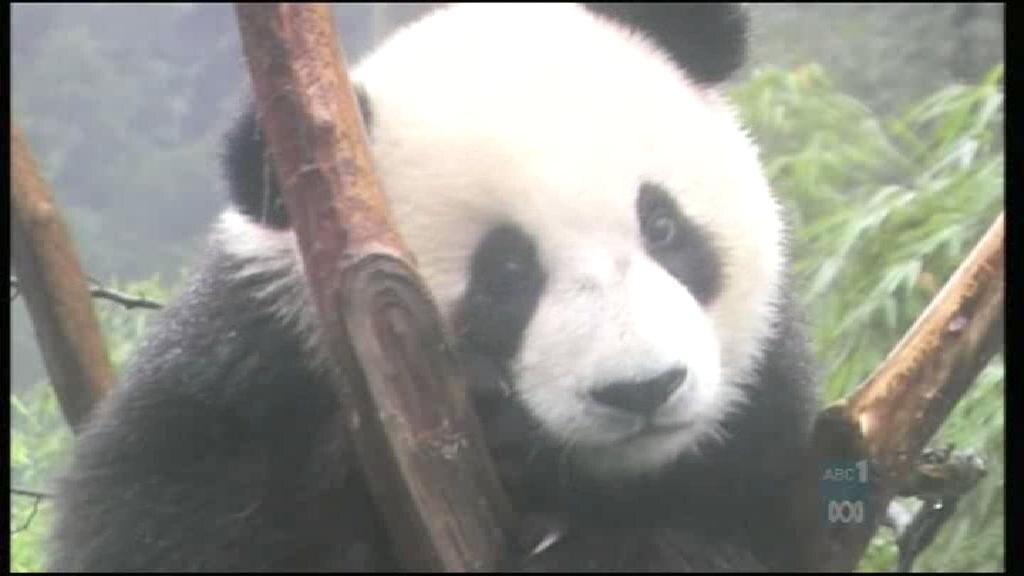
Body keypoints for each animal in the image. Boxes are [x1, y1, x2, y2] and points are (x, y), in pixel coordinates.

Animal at [49, 3, 819, 572]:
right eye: (505, 276)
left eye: (662, 226)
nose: (643, 389)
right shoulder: (244, 372)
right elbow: (171, 524)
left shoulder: (765, 427)